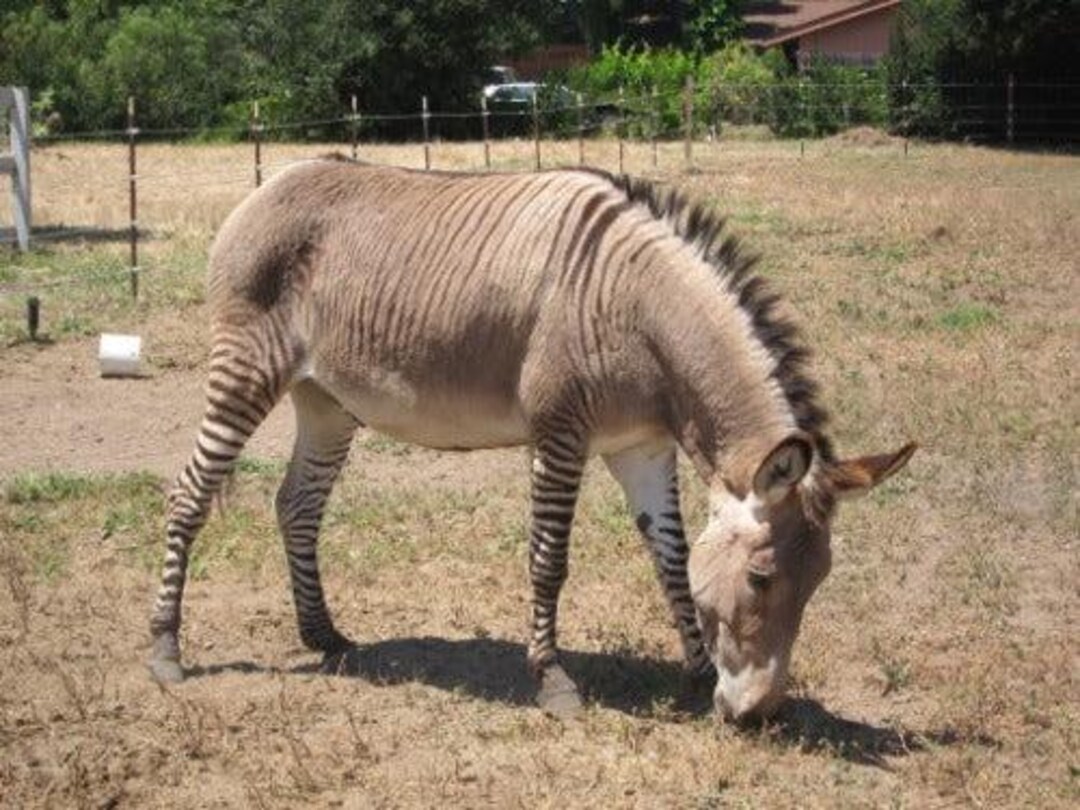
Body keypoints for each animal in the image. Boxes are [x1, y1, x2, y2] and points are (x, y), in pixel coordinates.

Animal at [149, 157, 915, 721]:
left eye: (820, 581)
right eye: (761, 579)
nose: (758, 716)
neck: (639, 314)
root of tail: (276, 178)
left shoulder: (641, 446)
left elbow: (671, 559)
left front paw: (697, 676)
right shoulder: (561, 433)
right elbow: (550, 561)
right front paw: (552, 680)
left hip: (329, 401)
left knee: (298, 505)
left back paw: (325, 637)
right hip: (246, 369)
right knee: (189, 495)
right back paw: (165, 650)